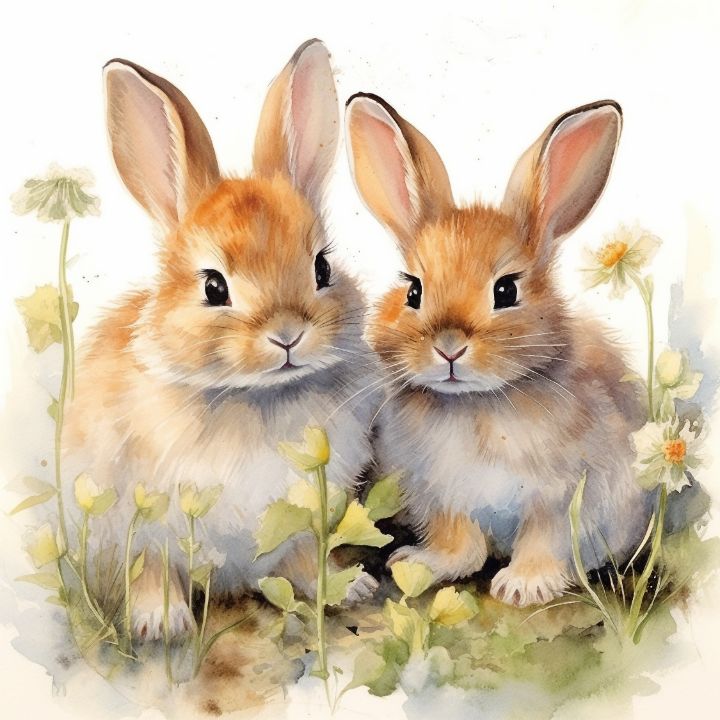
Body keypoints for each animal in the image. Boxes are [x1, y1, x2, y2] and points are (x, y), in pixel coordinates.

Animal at [61, 40, 381, 640]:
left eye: (322, 268)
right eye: (213, 286)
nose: (287, 335)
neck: (254, 396)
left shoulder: (300, 520)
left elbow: (304, 559)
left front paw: (348, 588)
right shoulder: (141, 520)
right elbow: (151, 569)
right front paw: (161, 622)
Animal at [345, 92, 653, 608]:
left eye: (506, 290)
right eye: (413, 291)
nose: (449, 348)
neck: (473, 404)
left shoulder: (564, 493)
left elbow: (544, 537)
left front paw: (524, 585)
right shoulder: (439, 493)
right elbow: (462, 544)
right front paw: (421, 564)